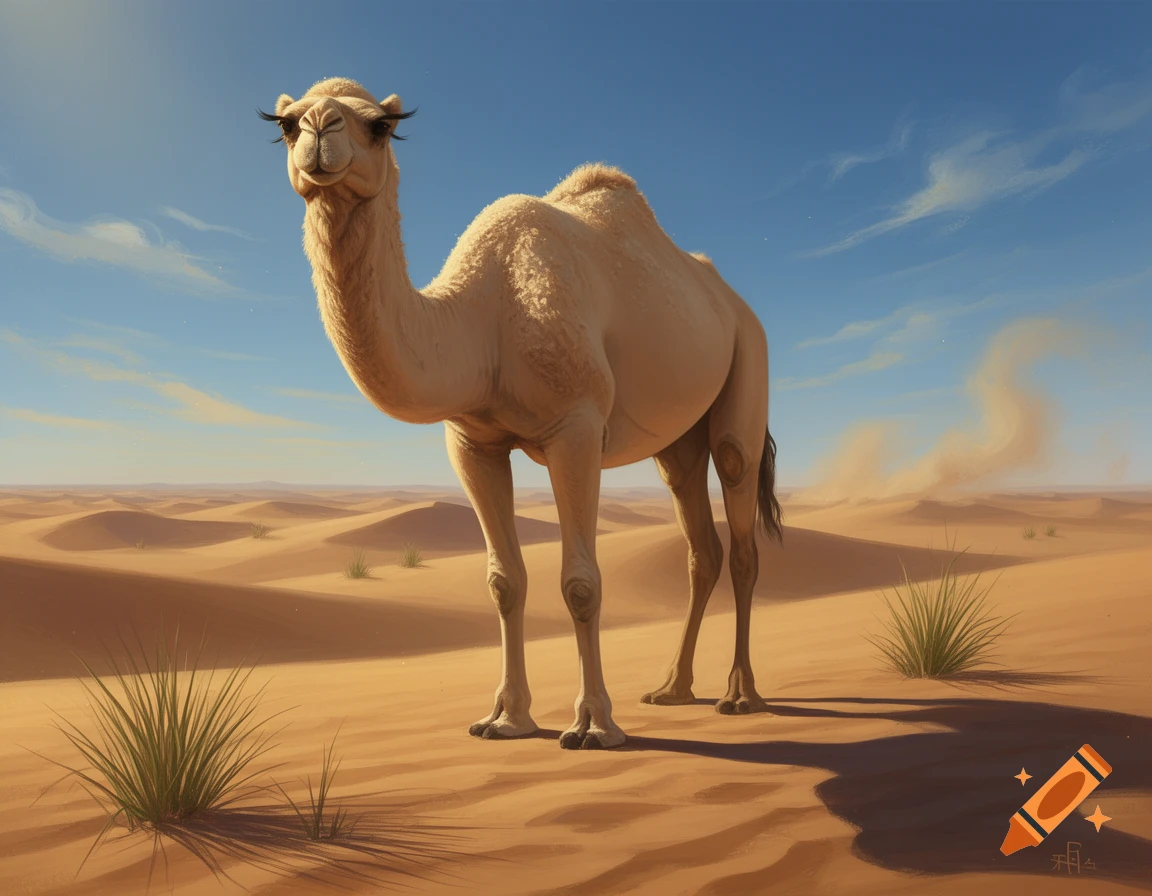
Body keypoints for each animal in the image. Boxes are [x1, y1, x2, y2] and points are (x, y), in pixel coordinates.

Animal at [260, 77, 784, 750]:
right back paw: (672, 688)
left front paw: (594, 725)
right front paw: (505, 719)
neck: (483, 318)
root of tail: (734, 301)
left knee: (740, 508)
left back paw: (740, 695)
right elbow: (504, 581)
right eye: (285, 124)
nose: (321, 131)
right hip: (679, 436)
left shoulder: (577, 426)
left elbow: (581, 583)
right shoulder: (472, 441)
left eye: (381, 125)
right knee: (699, 539)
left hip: (749, 356)